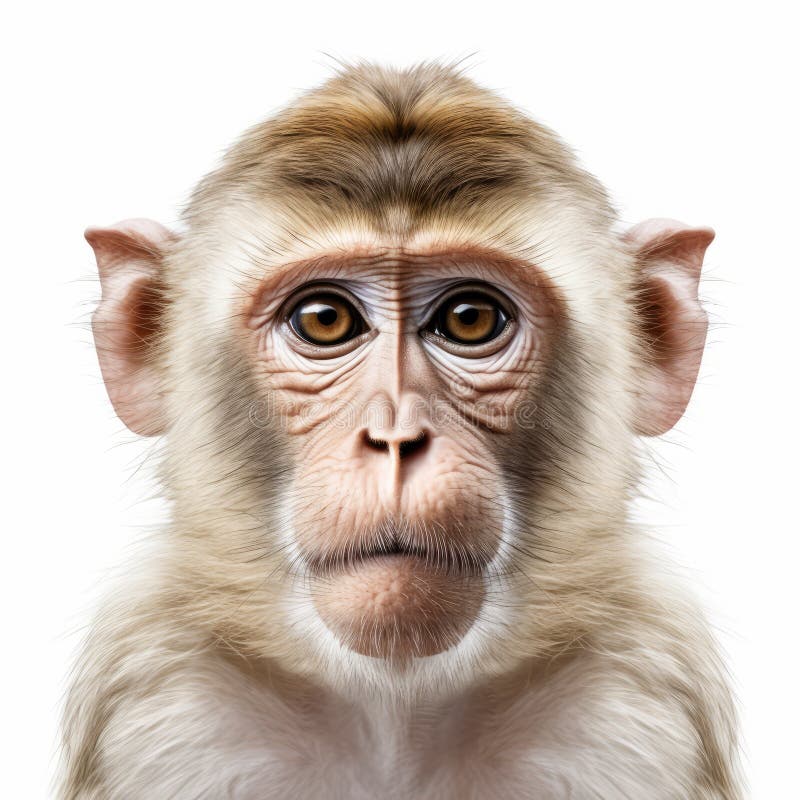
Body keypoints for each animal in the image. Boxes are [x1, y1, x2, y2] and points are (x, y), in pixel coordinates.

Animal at [60, 63, 742, 799]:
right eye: (325, 319)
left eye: (471, 319)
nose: (394, 438)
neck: (394, 717)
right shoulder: (159, 705)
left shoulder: (641, 702)